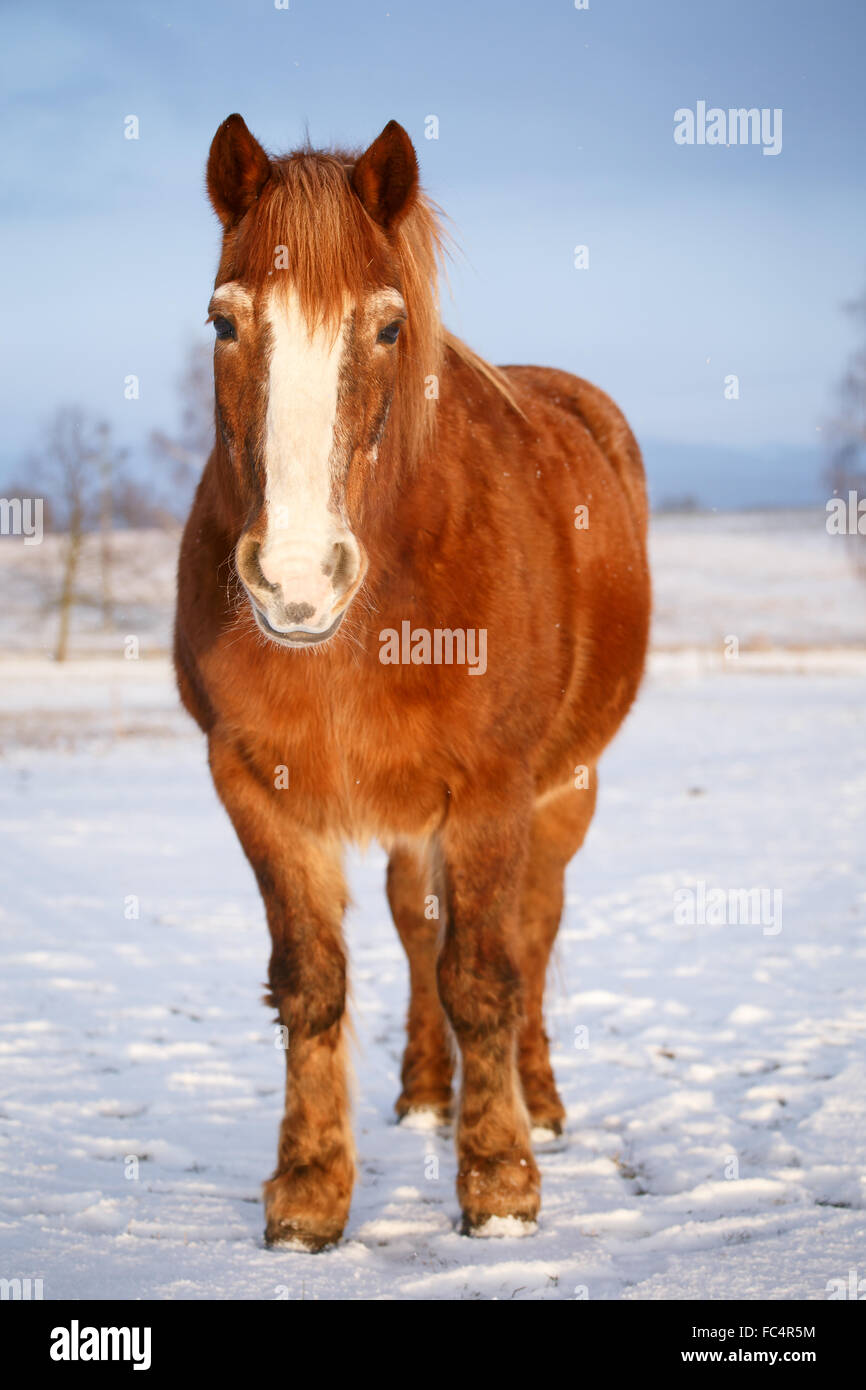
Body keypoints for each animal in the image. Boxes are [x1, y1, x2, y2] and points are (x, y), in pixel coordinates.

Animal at [174, 114, 651, 1249]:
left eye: (389, 328)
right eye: (223, 321)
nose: (296, 578)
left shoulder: (490, 792)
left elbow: (484, 975)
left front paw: (501, 1183)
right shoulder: (254, 785)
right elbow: (312, 982)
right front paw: (308, 1193)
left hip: (562, 795)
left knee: (528, 939)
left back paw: (537, 1103)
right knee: (417, 925)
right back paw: (427, 1095)